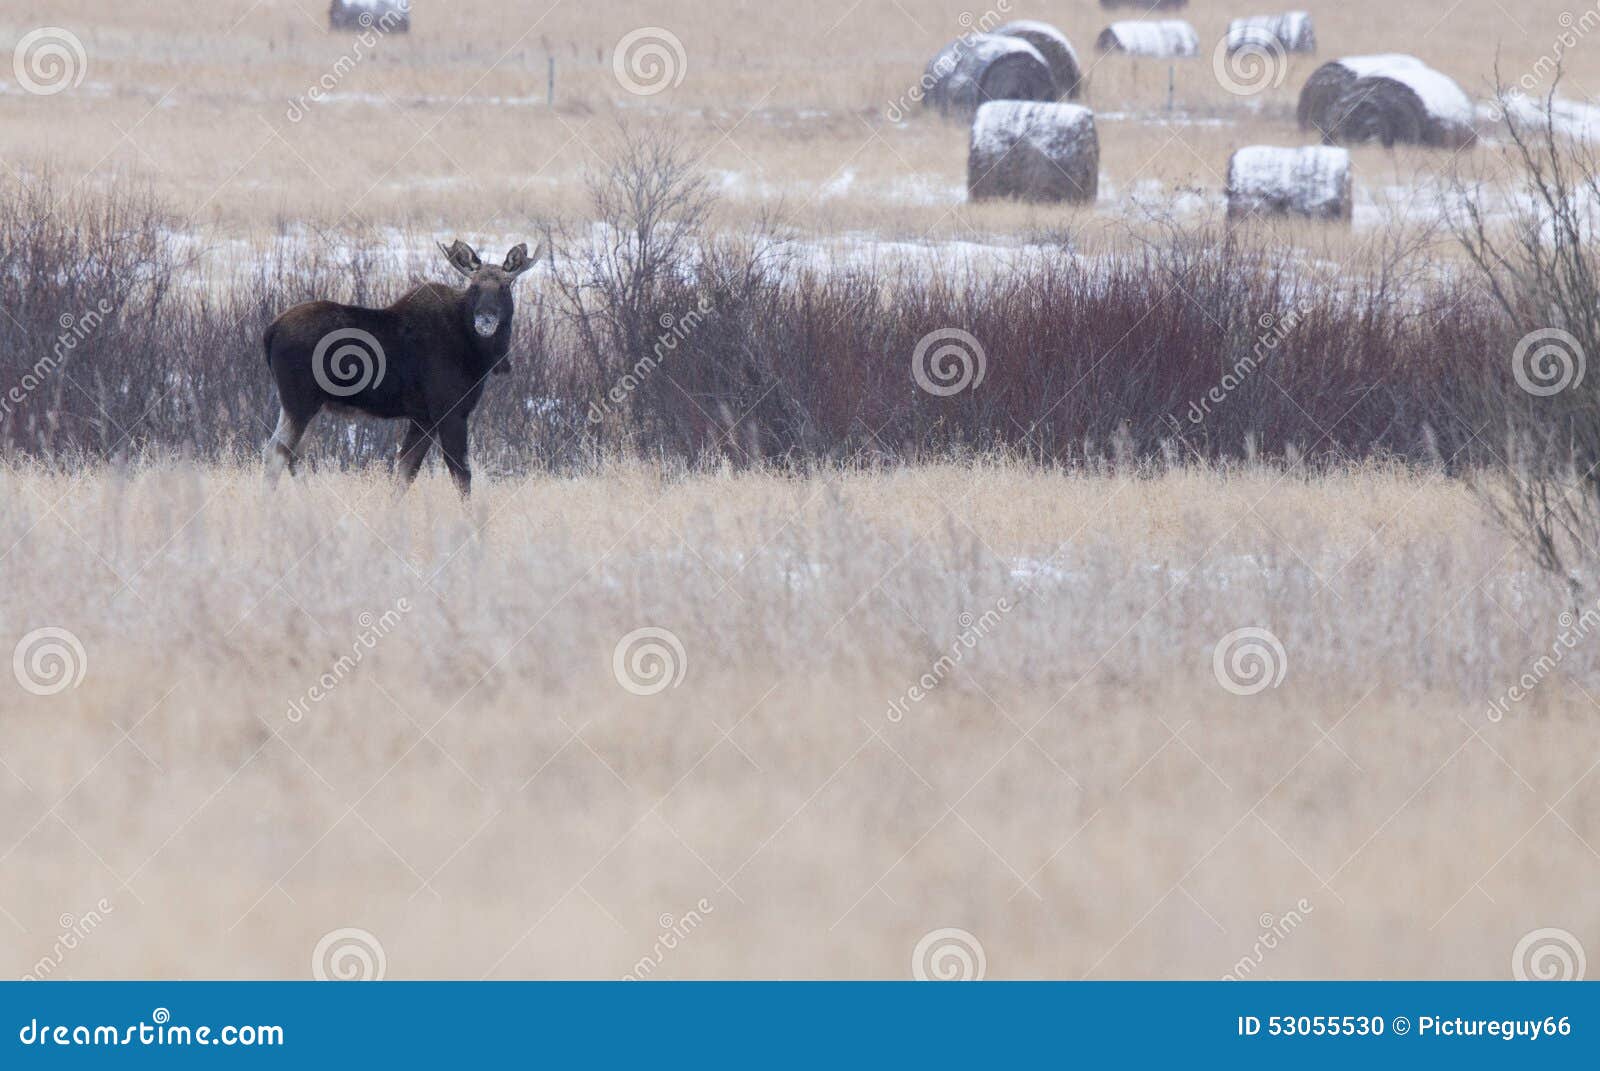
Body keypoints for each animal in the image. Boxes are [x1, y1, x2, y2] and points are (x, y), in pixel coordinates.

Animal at [262, 240, 537, 497]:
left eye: (505, 286)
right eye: (474, 287)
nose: (485, 319)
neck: (477, 352)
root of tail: (270, 331)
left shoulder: (424, 419)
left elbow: (405, 473)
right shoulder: (451, 412)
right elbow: (461, 475)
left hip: (309, 406)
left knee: (293, 456)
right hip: (299, 402)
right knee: (277, 453)